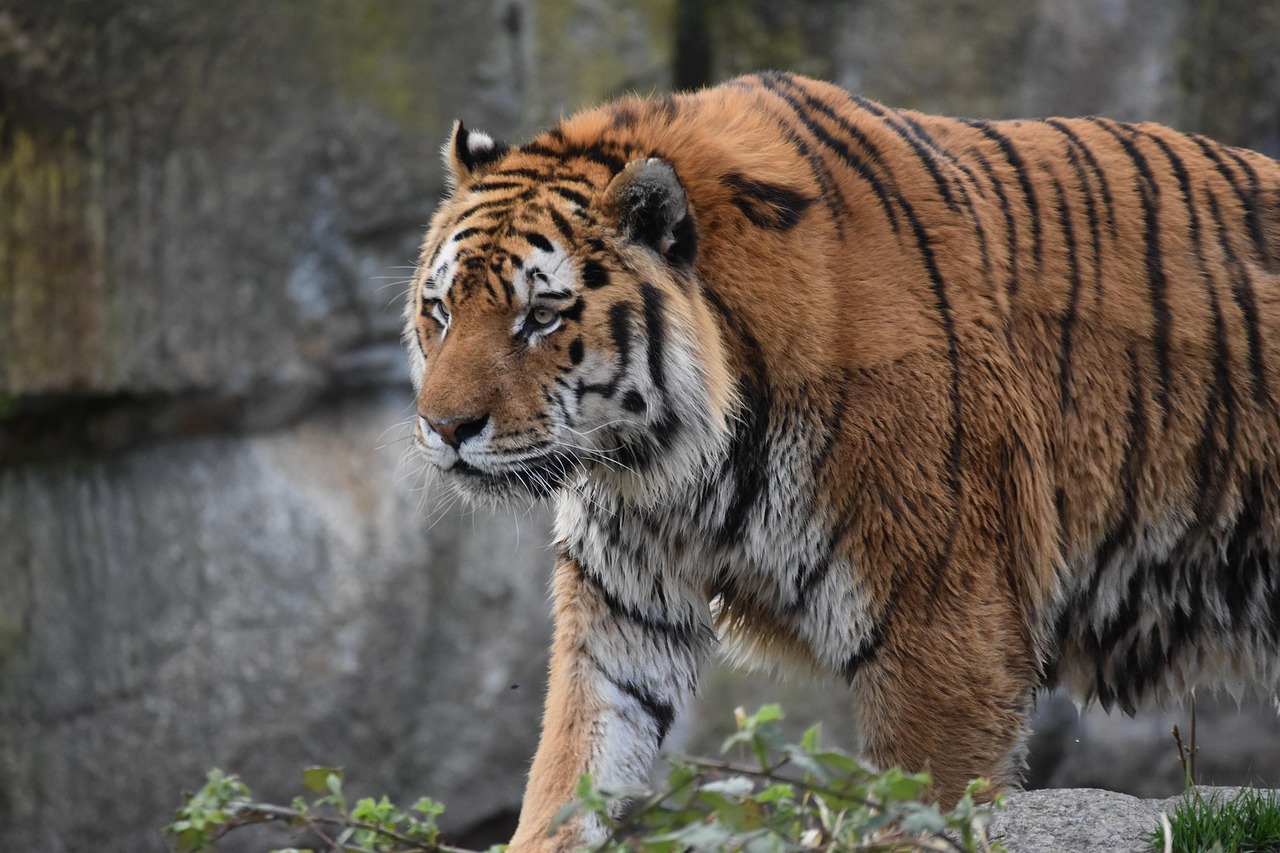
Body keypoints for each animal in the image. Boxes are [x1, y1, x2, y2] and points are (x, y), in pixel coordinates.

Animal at [404, 70, 1280, 851]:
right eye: (440, 310)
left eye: (540, 317)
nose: (444, 427)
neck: (673, 459)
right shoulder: (624, 602)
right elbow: (573, 765)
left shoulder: (948, 626)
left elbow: (919, 808)